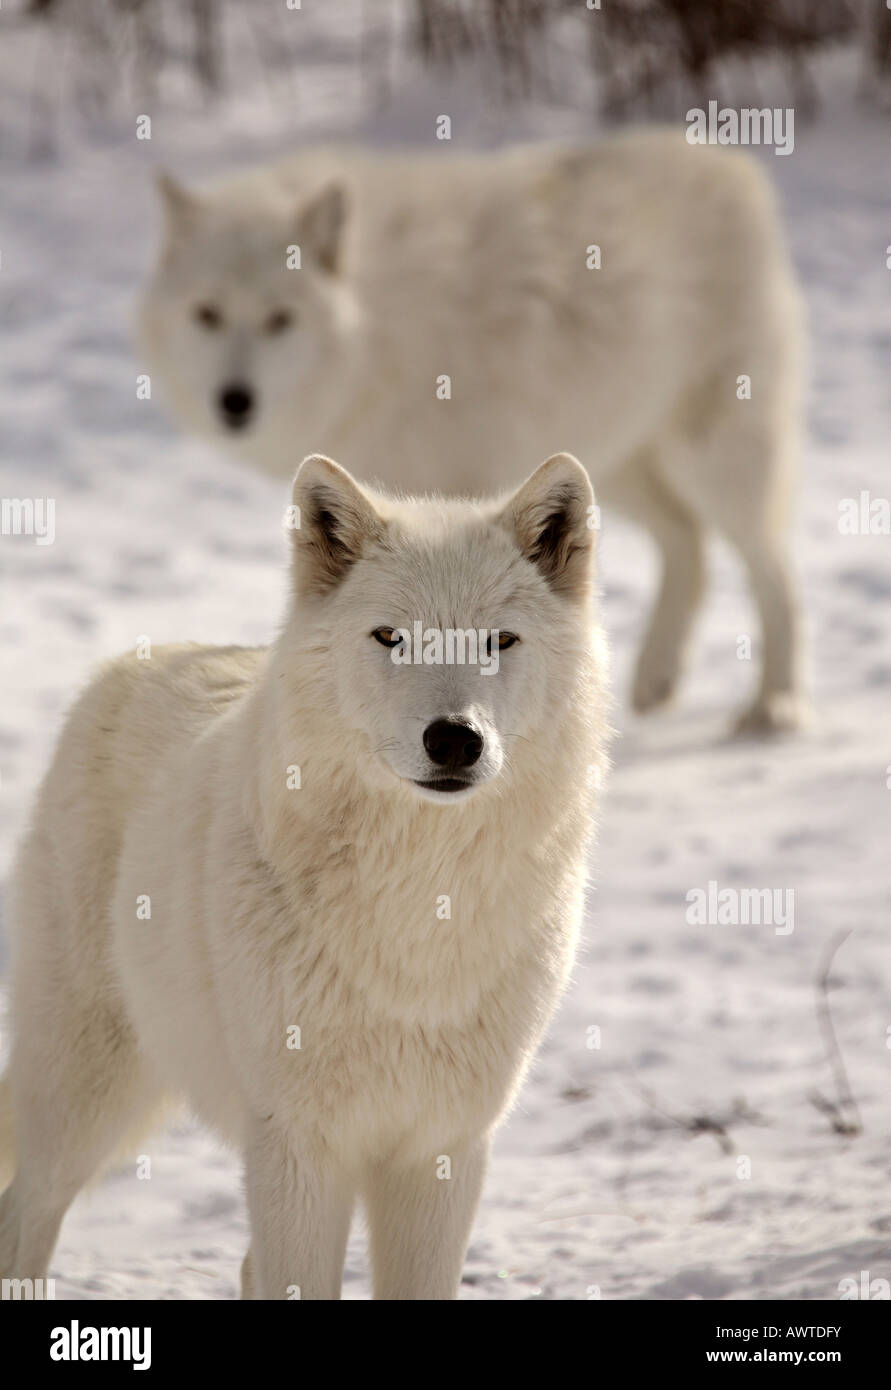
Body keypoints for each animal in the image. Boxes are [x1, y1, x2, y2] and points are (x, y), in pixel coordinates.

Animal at [0, 452, 608, 1300]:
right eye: (390, 638)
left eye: (498, 641)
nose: (453, 740)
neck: (420, 909)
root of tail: (131, 662)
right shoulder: (299, 1147)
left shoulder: (442, 1151)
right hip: (86, 1097)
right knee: (22, 1214)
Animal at [139, 129, 805, 733]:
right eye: (207, 314)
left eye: (281, 319)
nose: (234, 402)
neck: (373, 331)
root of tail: (729, 161)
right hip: (617, 465)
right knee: (687, 543)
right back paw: (655, 681)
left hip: (713, 459)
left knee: (772, 568)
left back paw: (775, 704)